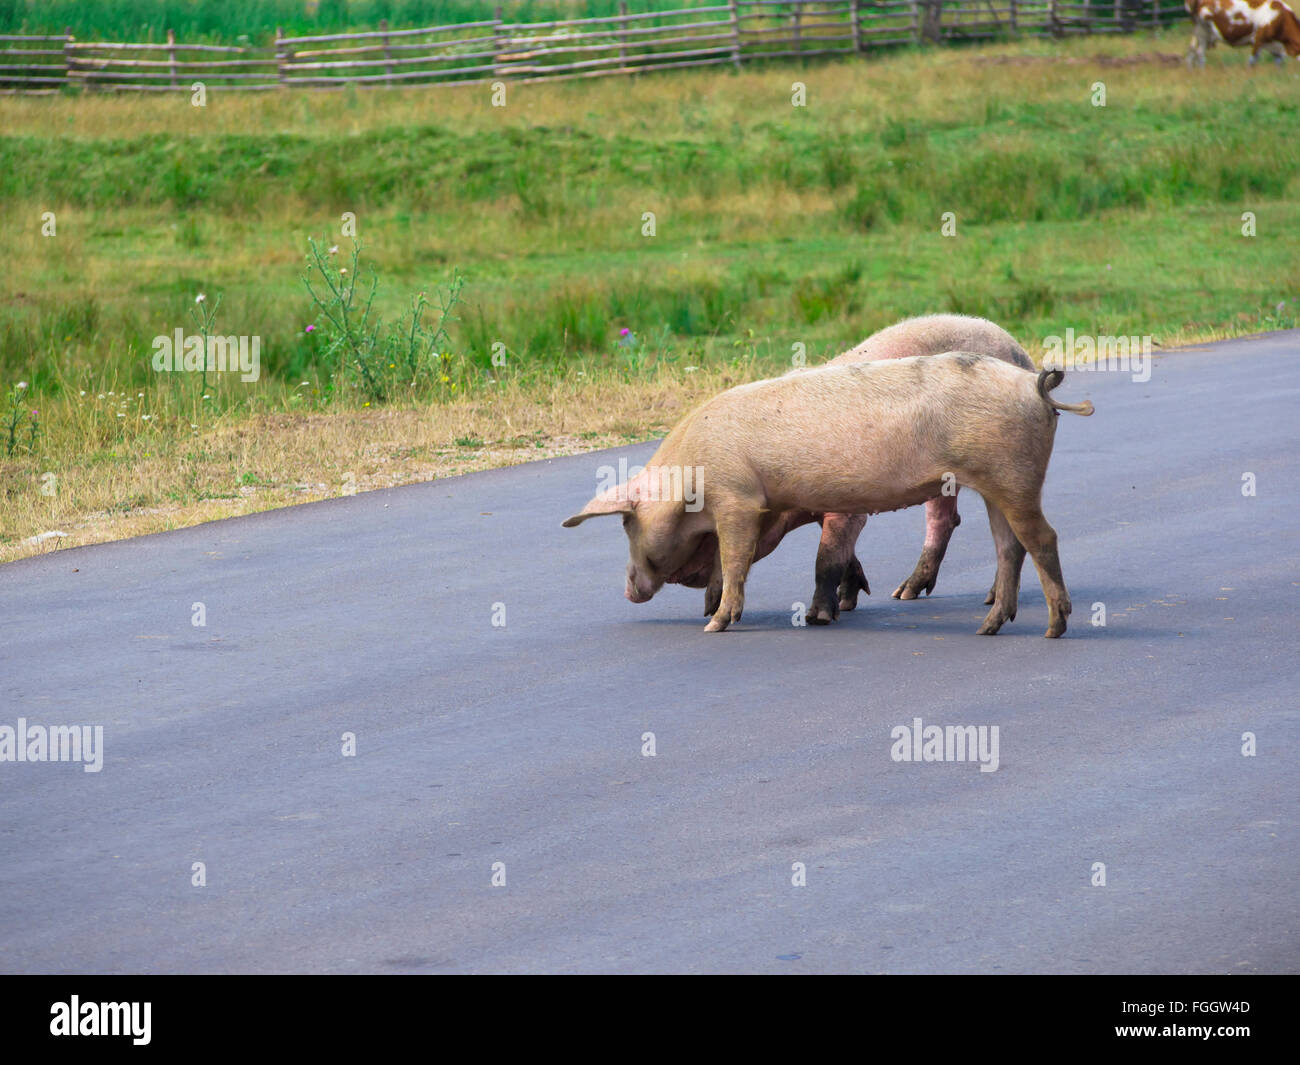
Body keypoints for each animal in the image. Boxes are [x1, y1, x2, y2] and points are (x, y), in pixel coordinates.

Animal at [563, 352, 1093, 637]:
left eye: (626, 523)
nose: (627, 589)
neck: (689, 473)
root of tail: (1036, 387)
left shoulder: (736, 497)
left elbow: (734, 559)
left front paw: (714, 625)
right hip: (994, 483)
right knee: (1009, 547)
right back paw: (987, 628)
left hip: (1012, 476)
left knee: (1042, 538)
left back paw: (1053, 628)